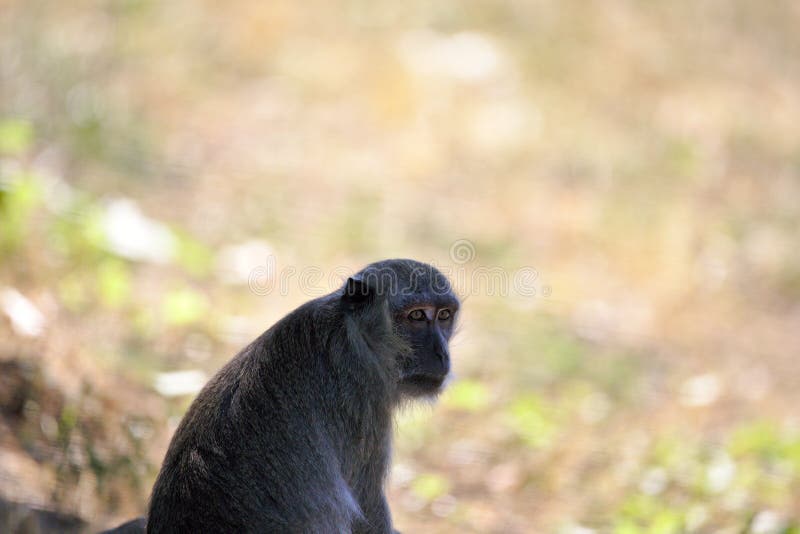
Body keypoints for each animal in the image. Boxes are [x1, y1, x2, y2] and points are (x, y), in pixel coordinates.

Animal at [102, 259, 459, 534]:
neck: (351, 331)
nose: (442, 354)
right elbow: (366, 512)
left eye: (444, 316)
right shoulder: (362, 397)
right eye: (417, 316)